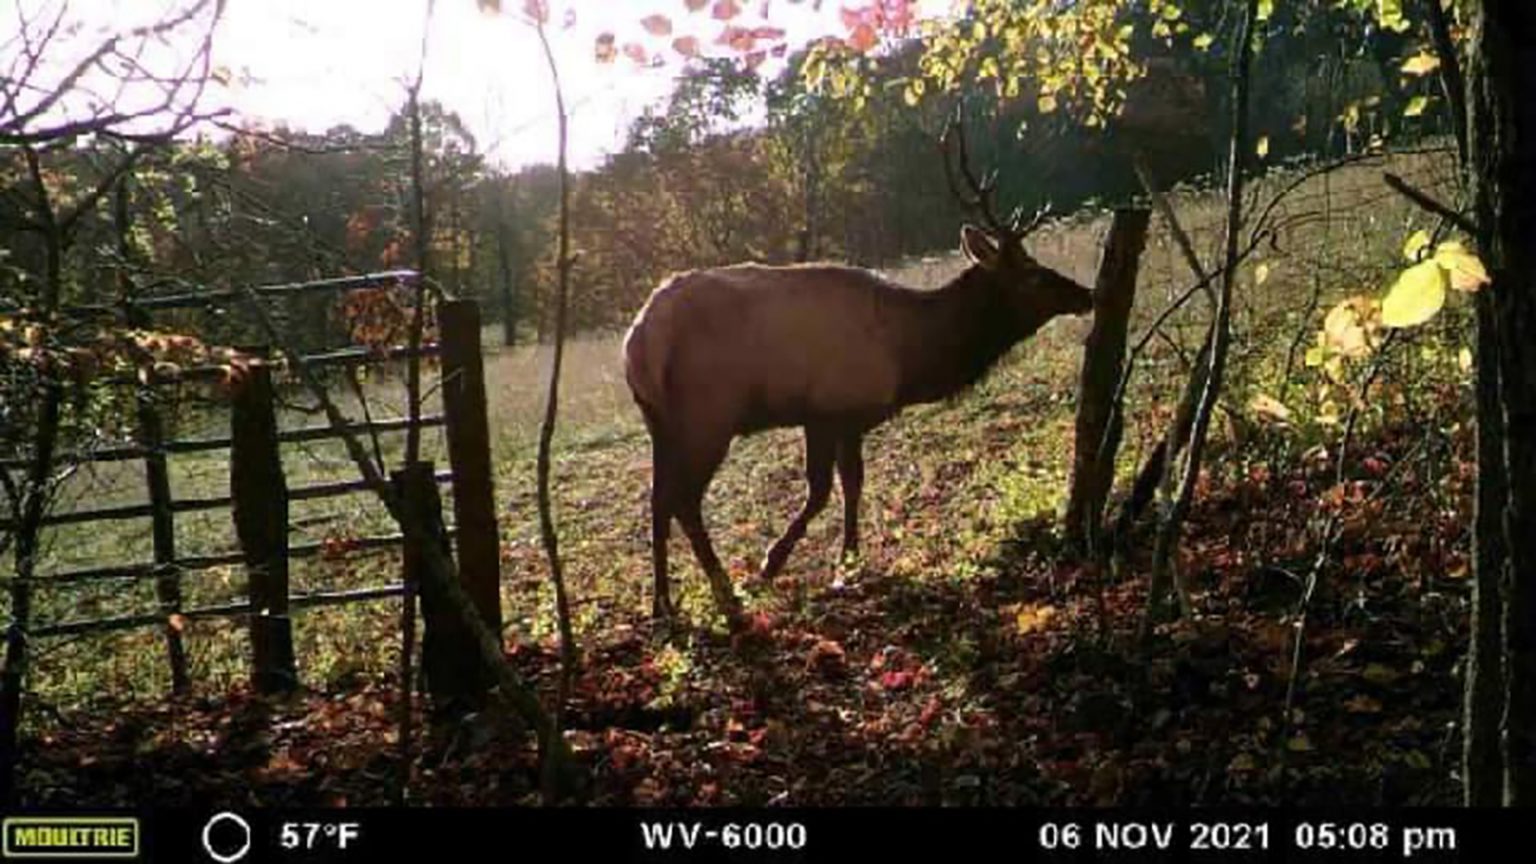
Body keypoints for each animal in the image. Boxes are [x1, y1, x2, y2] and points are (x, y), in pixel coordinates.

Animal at [623, 114, 1094, 625]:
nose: (1086, 294)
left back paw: (662, 604)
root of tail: (639, 341)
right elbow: (831, 488)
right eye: (1032, 276)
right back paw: (727, 594)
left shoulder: (831, 417)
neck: (909, 356)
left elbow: (841, 485)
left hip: (658, 419)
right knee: (684, 499)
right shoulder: (836, 408)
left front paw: (837, 562)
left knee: (657, 499)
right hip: (709, 413)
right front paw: (798, 565)